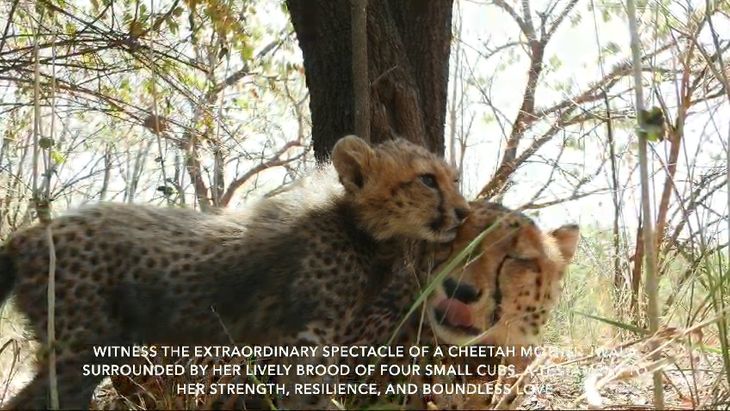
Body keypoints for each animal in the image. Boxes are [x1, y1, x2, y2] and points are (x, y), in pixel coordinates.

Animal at [0, 134, 470, 410]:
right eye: (427, 180)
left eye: (453, 179)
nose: (464, 213)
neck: (357, 227)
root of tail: (26, 235)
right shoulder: (304, 342)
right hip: (83, 349)